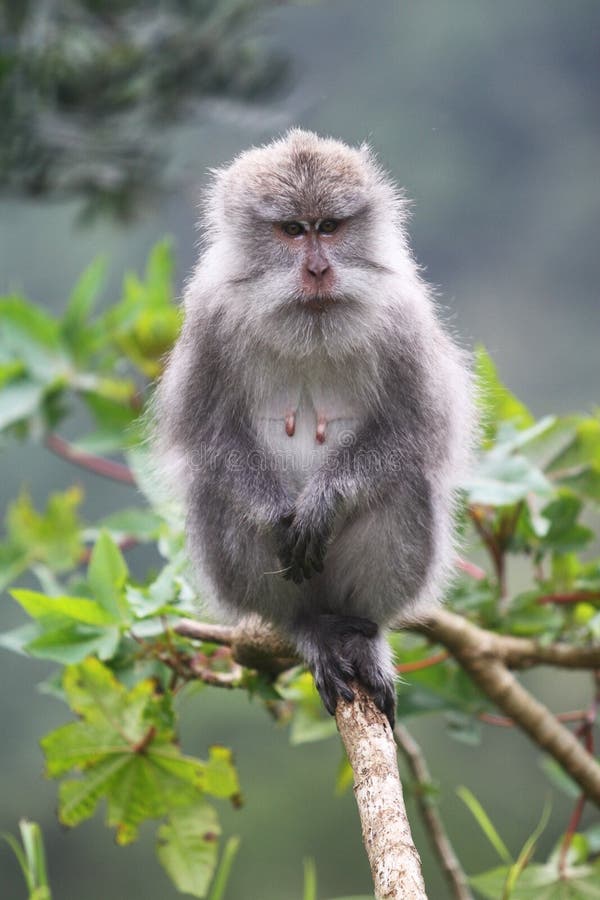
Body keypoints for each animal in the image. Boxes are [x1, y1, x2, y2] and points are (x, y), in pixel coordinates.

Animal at [153, 129, 474, 727]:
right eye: (291, 230)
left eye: (329, 227)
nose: (319, 270)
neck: (310, 320)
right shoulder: (209, 319)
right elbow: (206, 437)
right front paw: (280, 513)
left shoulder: (404, 319)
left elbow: (417, 431)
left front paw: (324, 501)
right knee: (217, 493)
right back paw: (305, 626)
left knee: (407, 485)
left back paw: (365, 631)